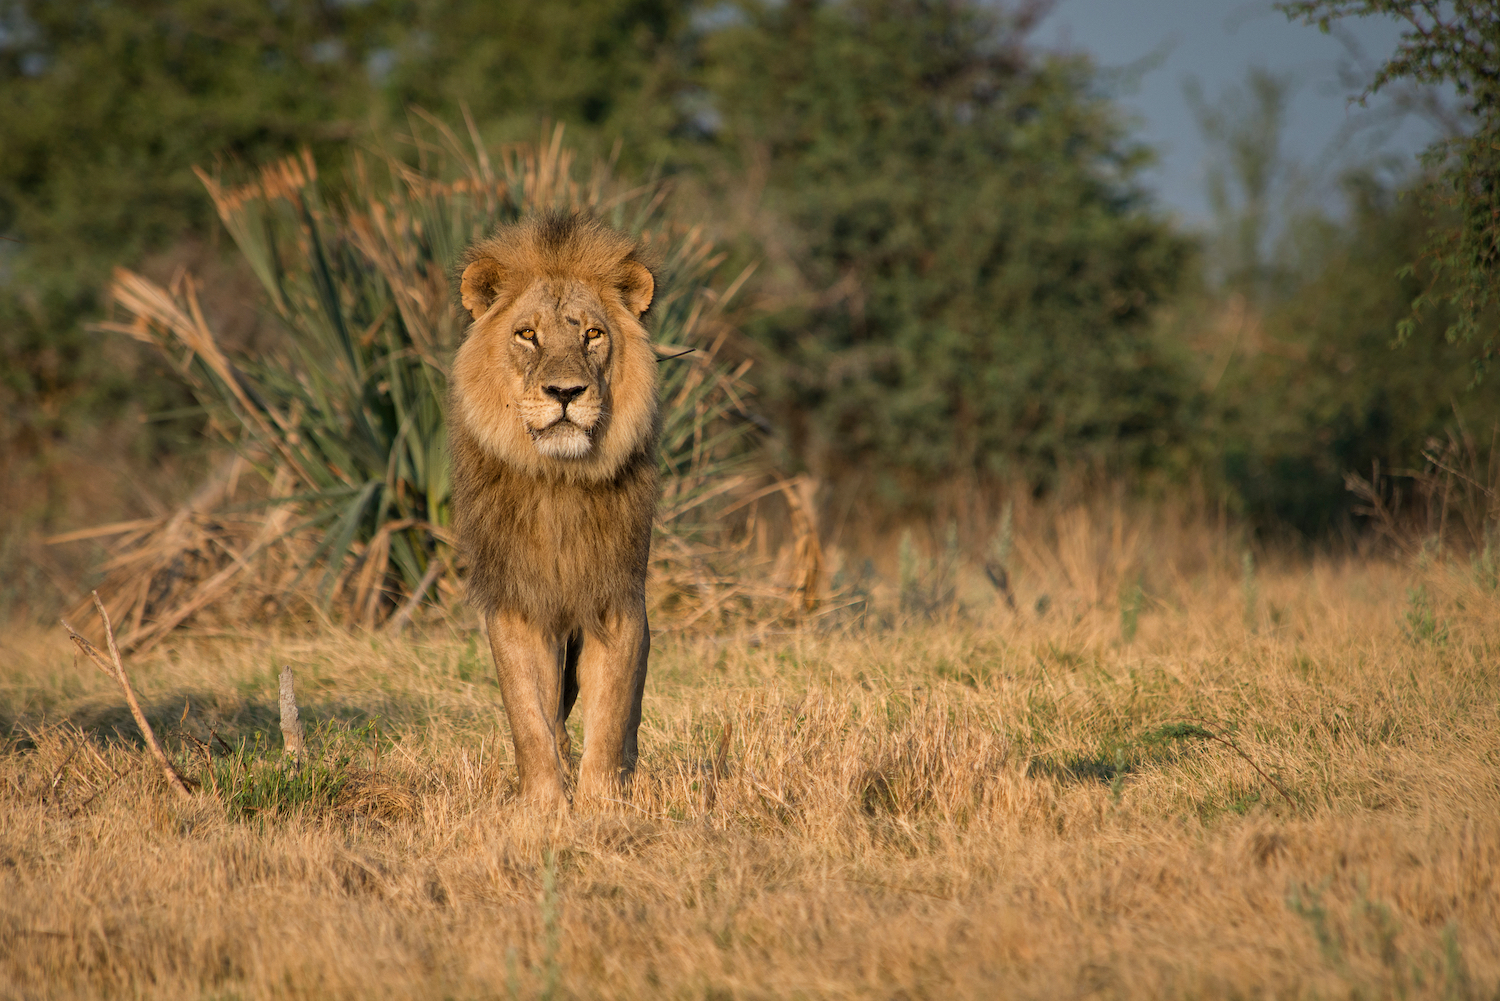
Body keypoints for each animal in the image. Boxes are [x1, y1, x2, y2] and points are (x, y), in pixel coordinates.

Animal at [448, 213, 660, 810]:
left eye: (592, 334)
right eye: (528, 334)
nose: (565, 392)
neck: (559, 483)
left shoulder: (616, 601)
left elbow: (610, 716)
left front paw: (600, 806)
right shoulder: (517, 602)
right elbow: (528, 718)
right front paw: (543, 807)